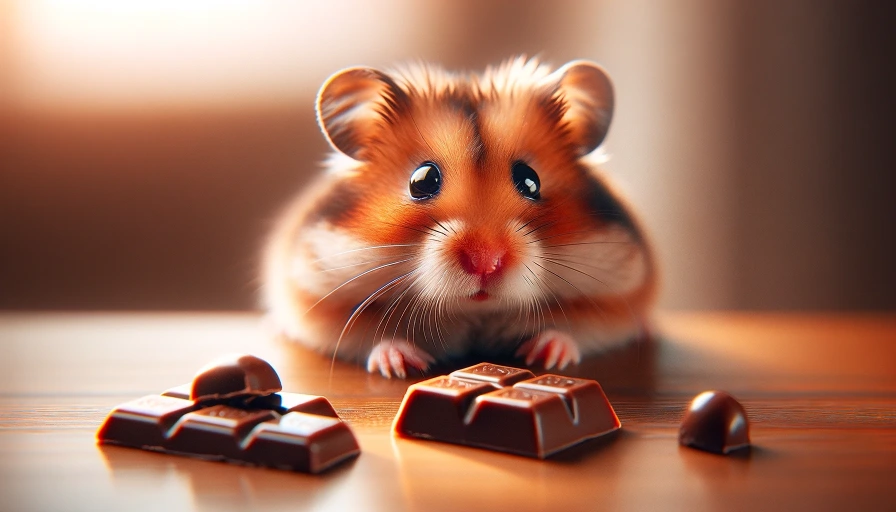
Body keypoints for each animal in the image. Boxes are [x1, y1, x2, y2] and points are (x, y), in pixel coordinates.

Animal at [262, 56, 657, 378]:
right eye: (422, 180)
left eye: (530, 180)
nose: (486, 262)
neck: (471, 313)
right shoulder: (317, 298)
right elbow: (371, 338)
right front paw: (404, 363)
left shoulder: (617, 298)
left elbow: (574, 331)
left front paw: (544, 355)